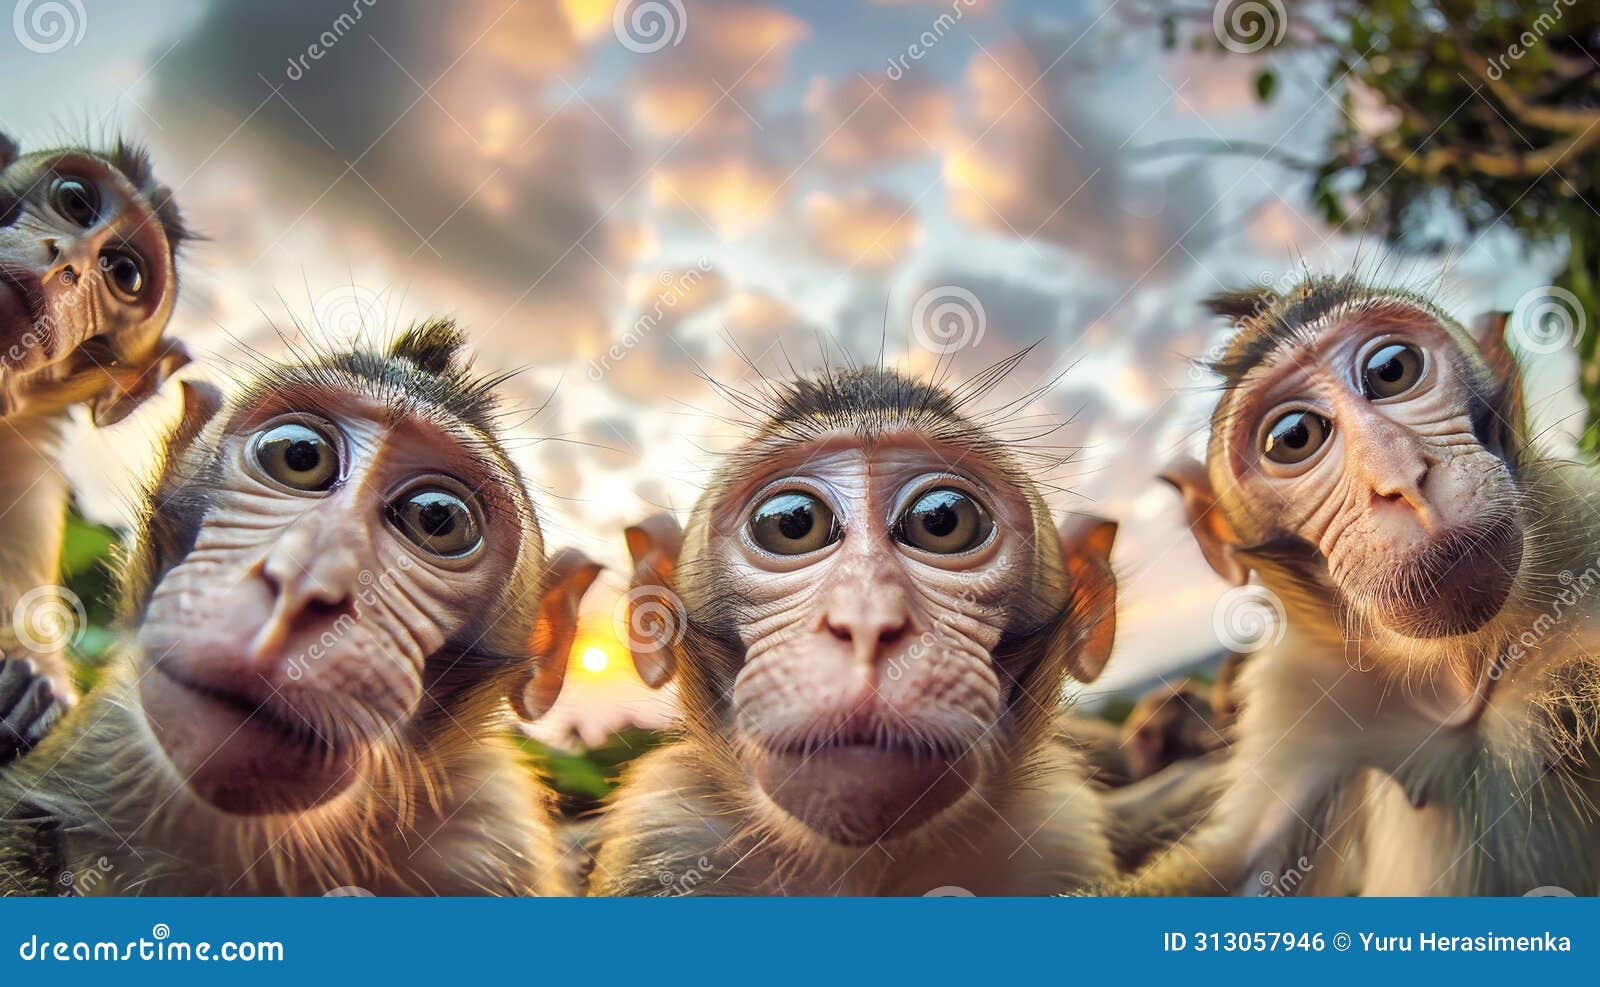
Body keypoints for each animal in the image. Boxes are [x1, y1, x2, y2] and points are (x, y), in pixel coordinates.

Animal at [1113, 275, 1600, 896]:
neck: (1468, 673)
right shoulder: (1305, 691)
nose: (1401, 478)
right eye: (1295, 436)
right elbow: (1235, 870)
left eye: (1392, 370)